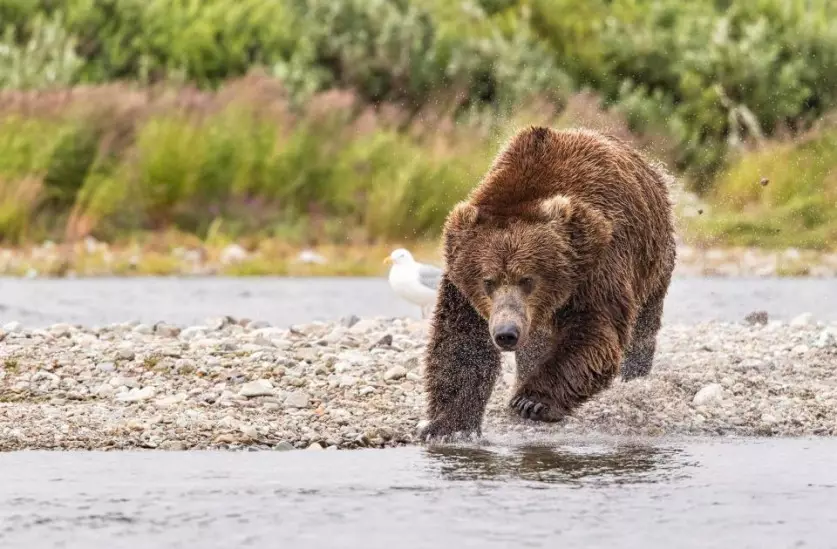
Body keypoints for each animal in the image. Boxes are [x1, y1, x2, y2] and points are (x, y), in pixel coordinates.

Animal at [416, 125, 672, 440]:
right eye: (488, 281)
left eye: (527, 279)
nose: (506, 333)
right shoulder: (462, 282)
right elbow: (460, 341)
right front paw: (446, 424)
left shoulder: (597, 265)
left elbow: (594, 332)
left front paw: (533, 401)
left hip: (653, 258)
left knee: (644, 324)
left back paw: (635, 376)